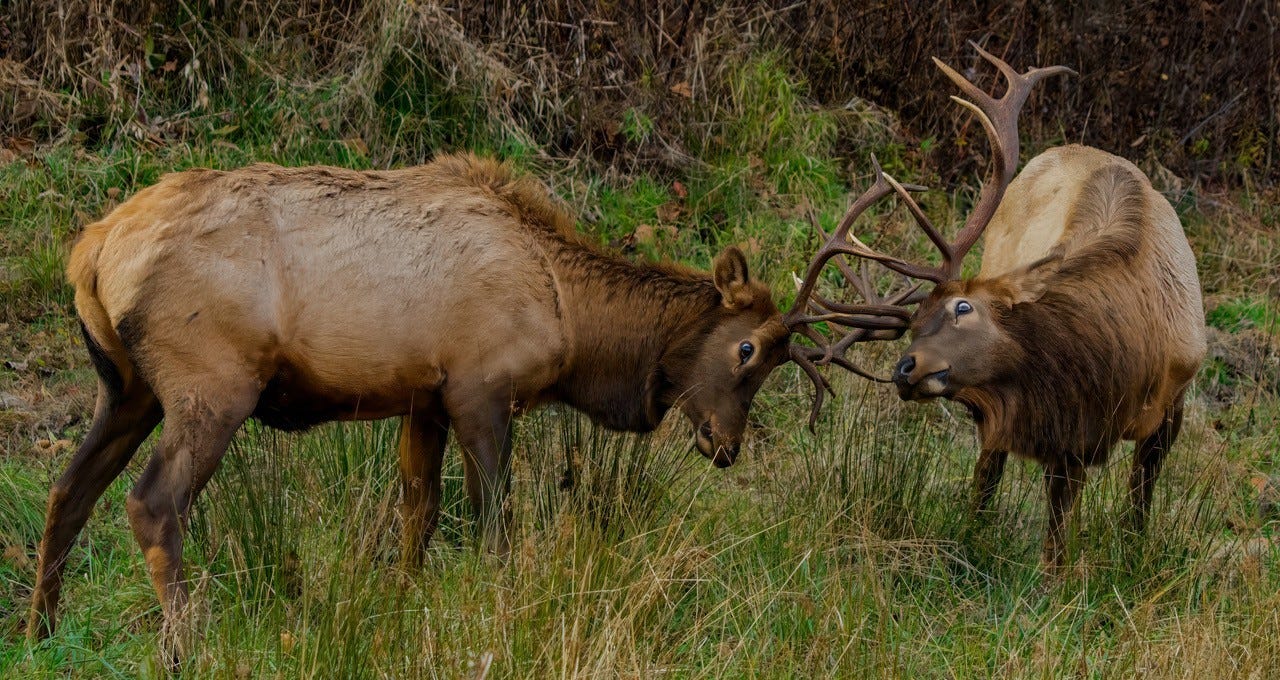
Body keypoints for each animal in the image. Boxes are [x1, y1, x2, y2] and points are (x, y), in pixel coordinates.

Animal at [28, 153, 807, 654]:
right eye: (746, 351)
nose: (726, 444)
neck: (570, 322)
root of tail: (91, 250)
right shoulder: (480, 388)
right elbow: (493, 521)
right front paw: (504, 611)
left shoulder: (422, 399)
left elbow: (418, 511)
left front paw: (401, 603)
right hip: (210, 382)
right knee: (151, 501)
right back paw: (185, 644)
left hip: (127, 388)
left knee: (67, 491)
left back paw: (40, 632)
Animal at [784, 43, 1207, 568]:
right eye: (914, 326)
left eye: (964, 308)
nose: (904, 369)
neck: (1123, 365)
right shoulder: (1068, 435)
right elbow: (1057, 532)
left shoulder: (1172, 400)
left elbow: (1137, 501)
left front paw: (1132, 555)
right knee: (987, 472)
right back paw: (973, 532)